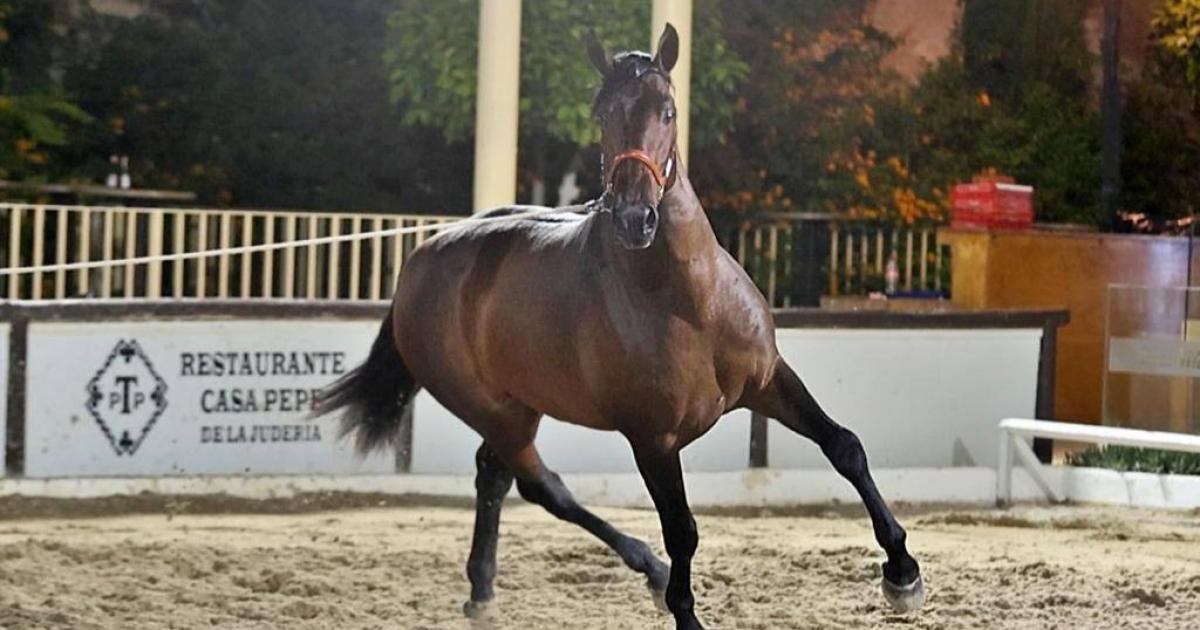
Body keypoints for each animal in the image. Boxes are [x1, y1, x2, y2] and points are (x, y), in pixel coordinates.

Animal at [316, 24, 924, 630]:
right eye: (602, 112)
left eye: (668, 111)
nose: (636, 219)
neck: (690, 303)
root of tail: (420, 260)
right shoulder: (652, 439)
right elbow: (682, 529)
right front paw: (683, 608)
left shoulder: (768, 380)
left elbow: (844, 447)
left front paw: (903, 573)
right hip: (490, 409)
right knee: (543, 487)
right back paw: (647, 569)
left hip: (518, 404)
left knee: (494, 475)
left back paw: (484, 590)